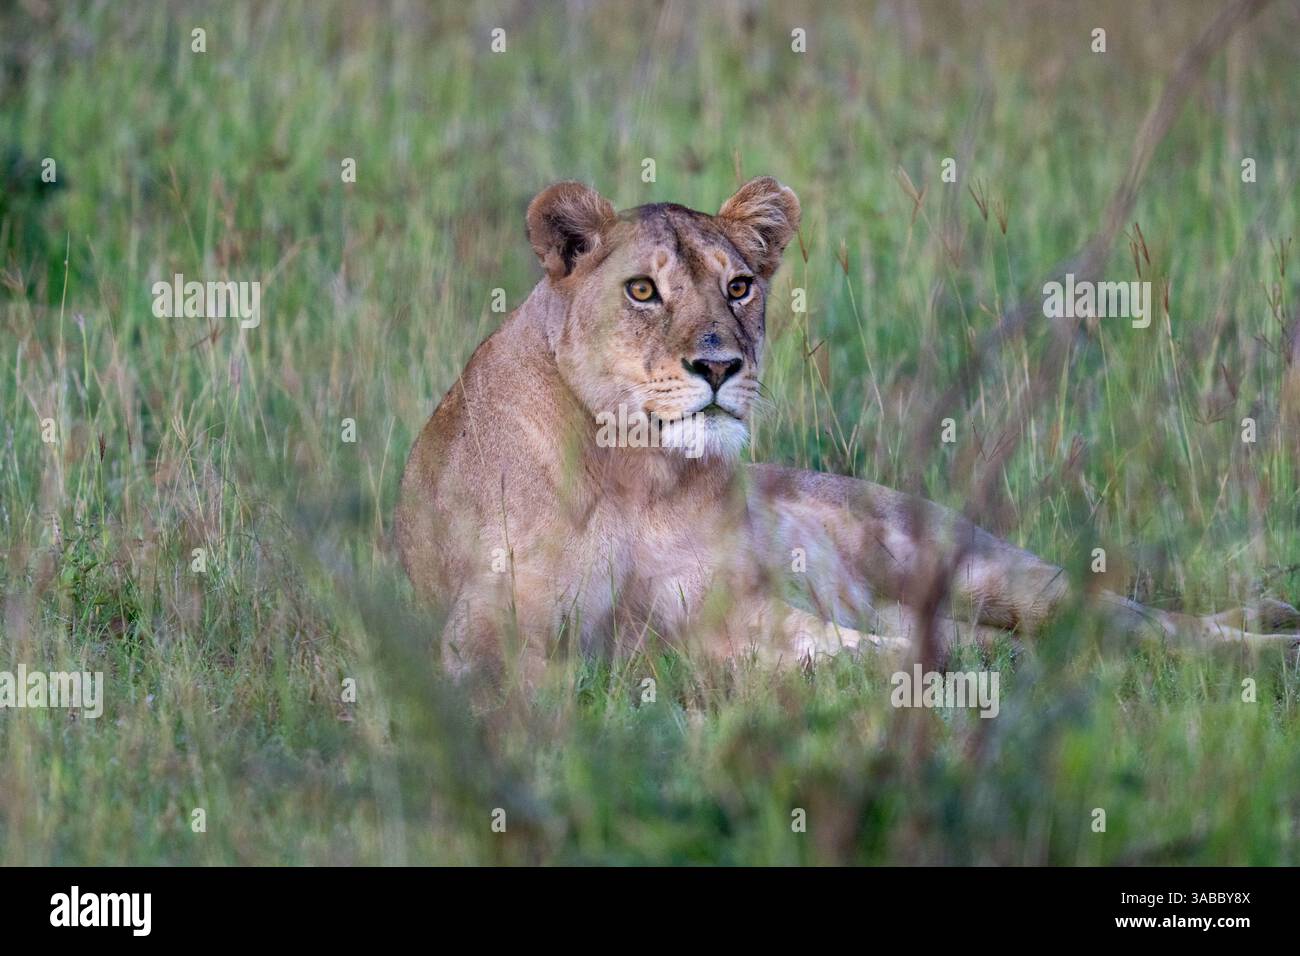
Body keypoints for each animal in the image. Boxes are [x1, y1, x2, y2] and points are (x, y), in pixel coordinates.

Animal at [395, 177, 1300, 692]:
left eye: (739, 286)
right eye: (643, 290)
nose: (718, 365)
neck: (634, 471)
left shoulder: (738, 607)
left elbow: (850, 649)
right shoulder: (486, 629)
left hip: (984, 568)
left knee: (1141, 622)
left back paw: (1268, 635)